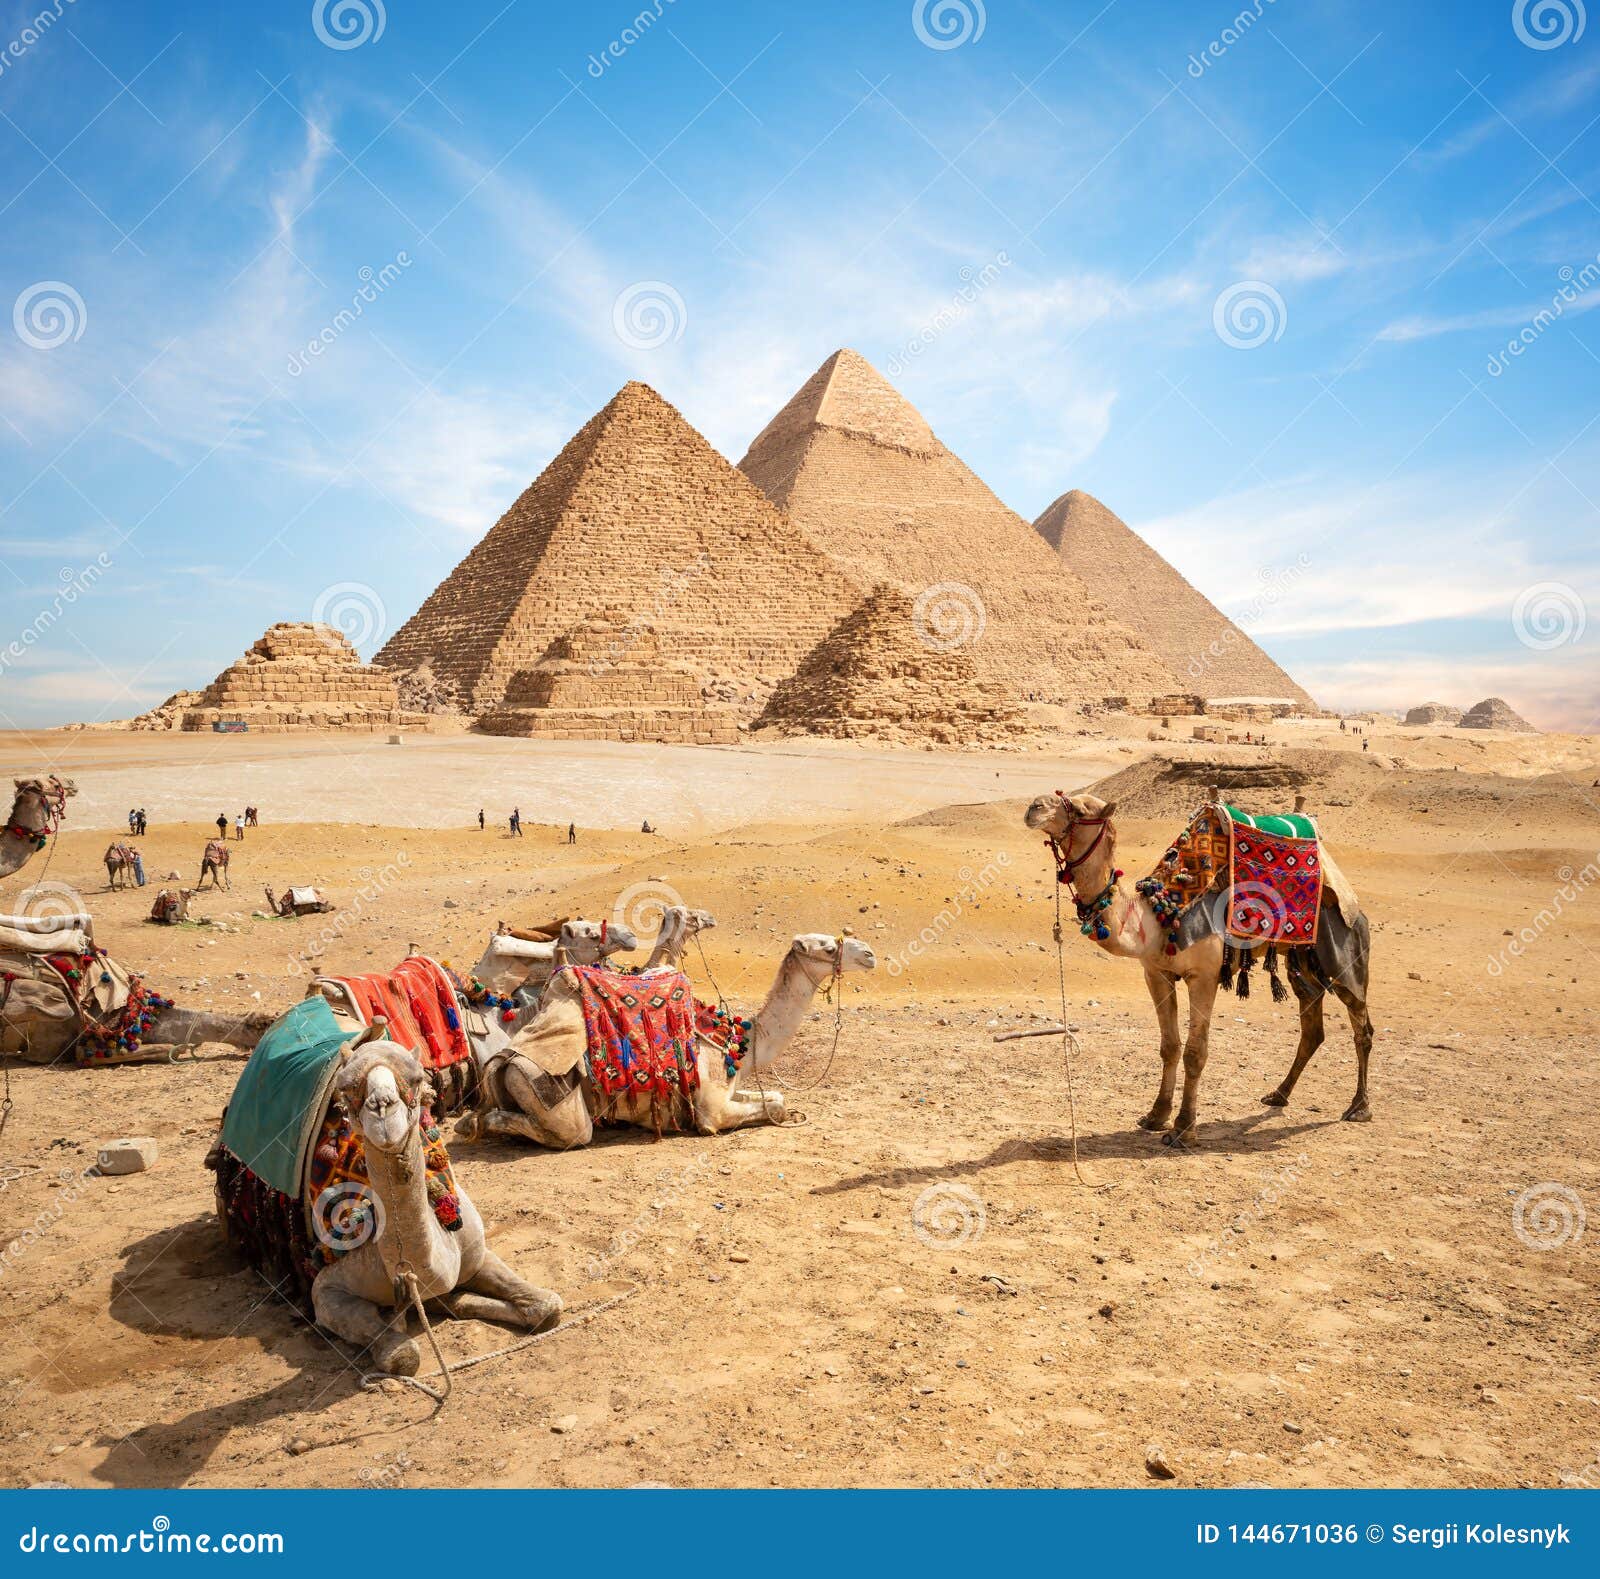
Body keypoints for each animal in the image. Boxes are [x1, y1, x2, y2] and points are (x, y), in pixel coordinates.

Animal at [458, 932, 876, 1148]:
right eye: (828, 947)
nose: (870, 954)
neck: (742, 1042)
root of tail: (504, 1059)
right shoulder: (711, 1108)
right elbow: (770, 1107)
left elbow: (775, 1096)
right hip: (546, 1087)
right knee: (571, 1131)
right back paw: (475, 1124)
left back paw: (469, 1123)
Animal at [1022, 791, 1373, 1149]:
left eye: (1079, 810)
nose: (1034, 806)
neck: (1159, 917)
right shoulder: (1156, 973)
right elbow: (1169, 1046)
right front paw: (1156, 1116)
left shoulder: (1204, 976)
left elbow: (1195, 1052)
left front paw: (1183, 1128)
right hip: (1301, 958)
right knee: (1312, 1022)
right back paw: (1278, 1094)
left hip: (1342, 946)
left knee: (1361, 1022)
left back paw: (1359, 1107)